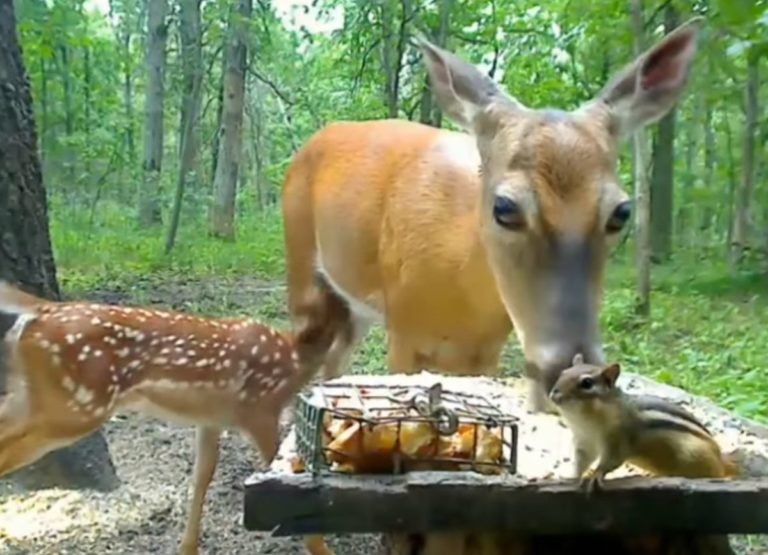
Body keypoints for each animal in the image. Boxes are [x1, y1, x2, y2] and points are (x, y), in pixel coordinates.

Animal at [0, 280, 339, 555]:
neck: (295, 355)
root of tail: (40, 311)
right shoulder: (259, 410)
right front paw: (322, 548)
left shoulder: (211, 419)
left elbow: (202, 476)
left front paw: (187, 548)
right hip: (77, 406)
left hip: (32, 397)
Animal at [282, 18, 702, 414]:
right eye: (504, 207)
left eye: (621, 212)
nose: (565, 370)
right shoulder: (402, 329)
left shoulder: (487, 350)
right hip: (301, 263)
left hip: (356, 301)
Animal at [548, 354, 738, 494]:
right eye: (563, 373)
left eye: (587, 383)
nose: (554, 395)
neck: (585, 421)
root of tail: (721, 459)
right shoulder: (584, 441)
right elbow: (581, 460)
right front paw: (571, 476)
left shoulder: (620, 438)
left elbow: (612, 460)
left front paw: (596, 474)